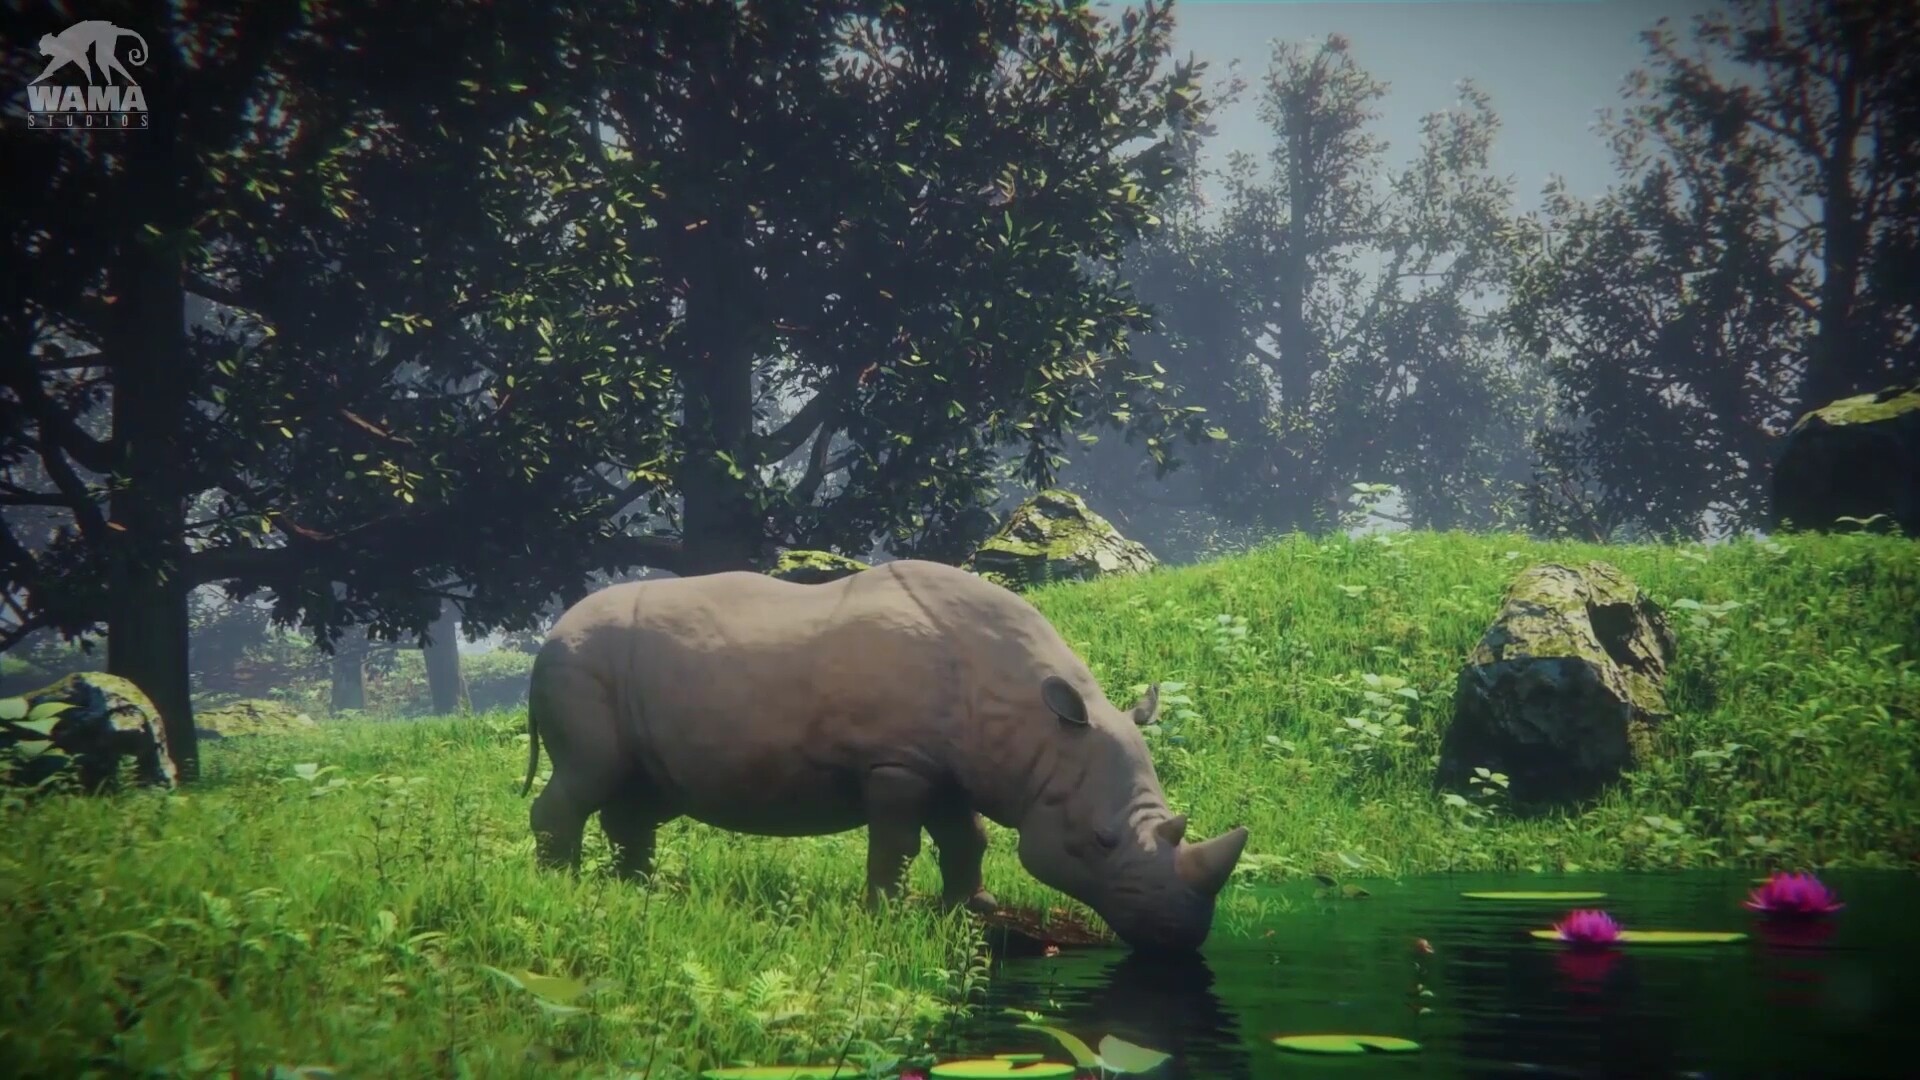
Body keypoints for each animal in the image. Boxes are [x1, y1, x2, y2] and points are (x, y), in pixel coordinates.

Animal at [521, 558, 1249, 952]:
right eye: (1101, 840)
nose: (1182, 935)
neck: (1037, 725)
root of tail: (548, 635)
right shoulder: (896, 762)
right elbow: (897, 841)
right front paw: (888, 914)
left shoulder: (950, 766)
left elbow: (967, 838)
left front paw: (975, 907)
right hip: (579, 664)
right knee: (589, 776)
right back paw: (562, 884)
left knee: (635, 795)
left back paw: (637, 888)